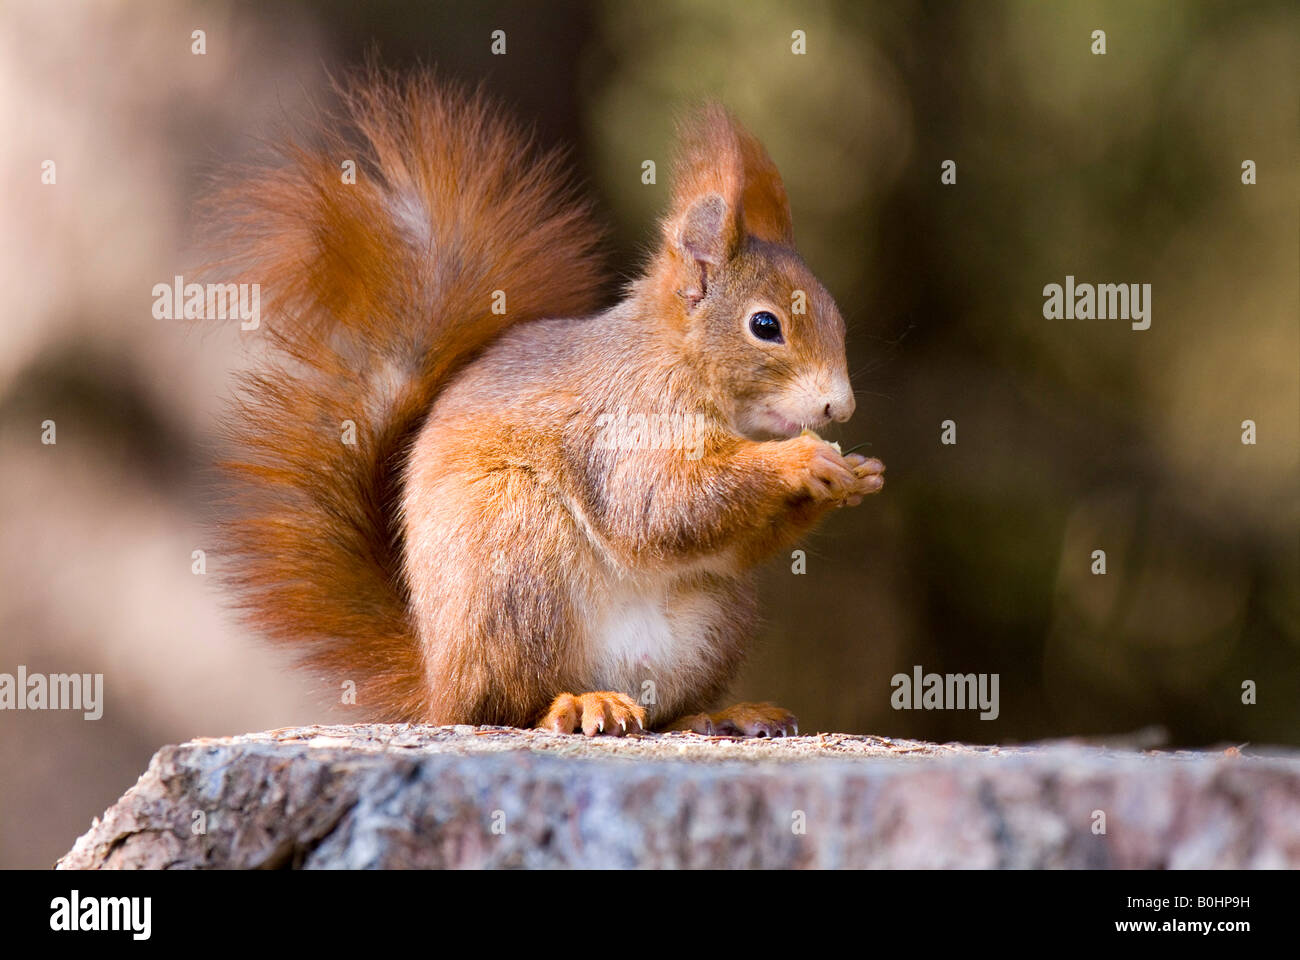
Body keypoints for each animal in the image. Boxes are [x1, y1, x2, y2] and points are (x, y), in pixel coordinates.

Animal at [209, 70, 884, 738]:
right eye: (765, 325)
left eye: (835, 315)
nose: (840, 408)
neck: (678, 360)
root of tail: (436, 682)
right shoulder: (624, 418)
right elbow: (657, 506)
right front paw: (803, 462)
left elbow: (723, 540)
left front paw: (857, 475)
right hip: (516, 555)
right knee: (506, 706)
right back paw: (582, 704)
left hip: (712, 621)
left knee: (665, 713)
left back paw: (721, 714)